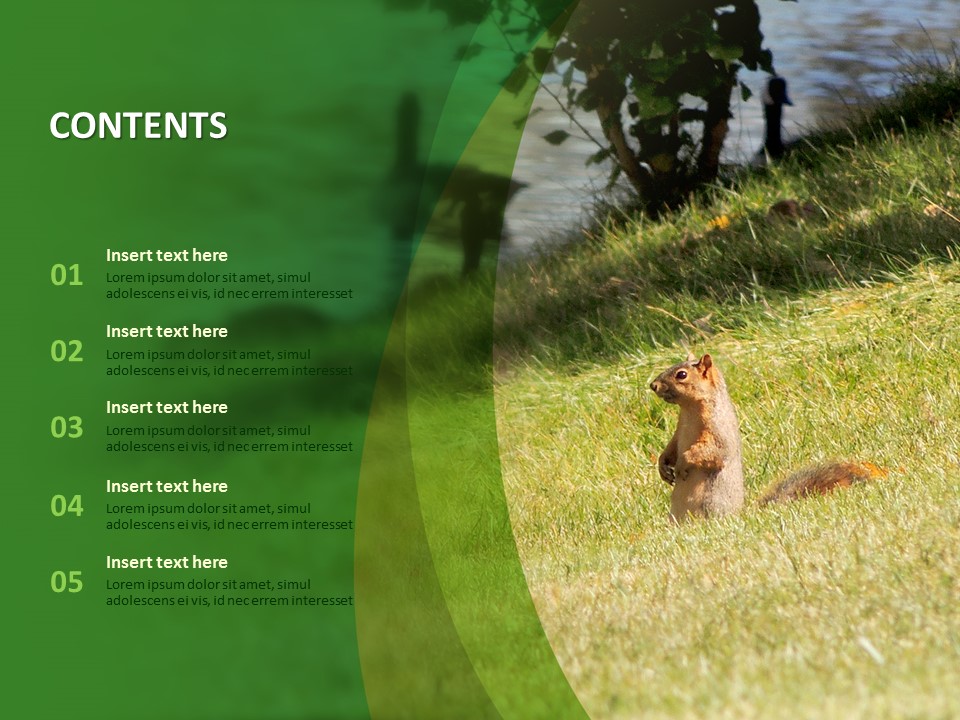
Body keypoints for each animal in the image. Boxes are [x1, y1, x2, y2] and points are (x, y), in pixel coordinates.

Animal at [649, 353, 883, 522]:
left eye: (681, 375)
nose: (653, 385)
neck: (689, 410)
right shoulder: (679, 431)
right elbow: (671, 447)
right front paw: (663, 466)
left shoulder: (718, 430)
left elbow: (710, 451)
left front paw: (682, 464)